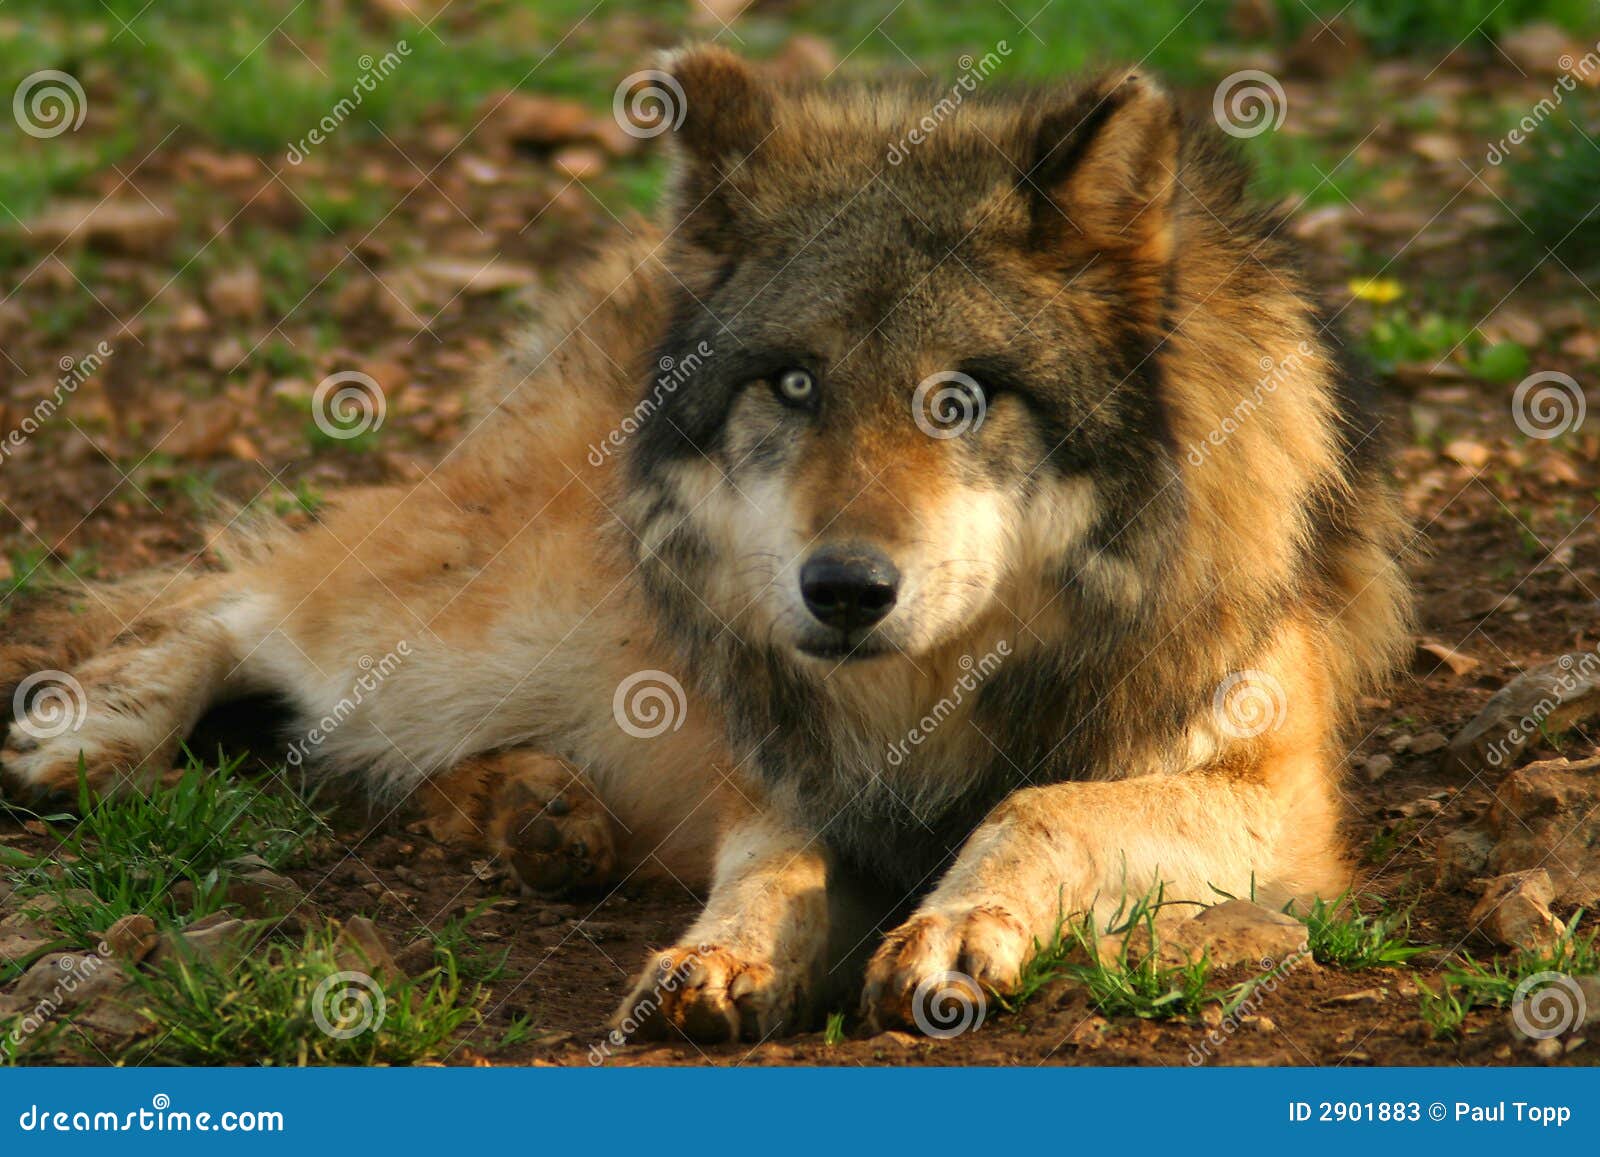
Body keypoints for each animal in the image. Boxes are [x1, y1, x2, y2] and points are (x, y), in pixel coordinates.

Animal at [0, 47, 1409, 1042]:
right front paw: (723, 949)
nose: (843, 590)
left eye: (960, 399)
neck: (937, 686)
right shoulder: (778, 761)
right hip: (511, 618)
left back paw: (536, 811)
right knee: (246, 600)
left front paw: (951, 925)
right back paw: (91, 735)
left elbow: (1039, 803)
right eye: (793, 384)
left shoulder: (1277, 802)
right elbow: (772, 864)